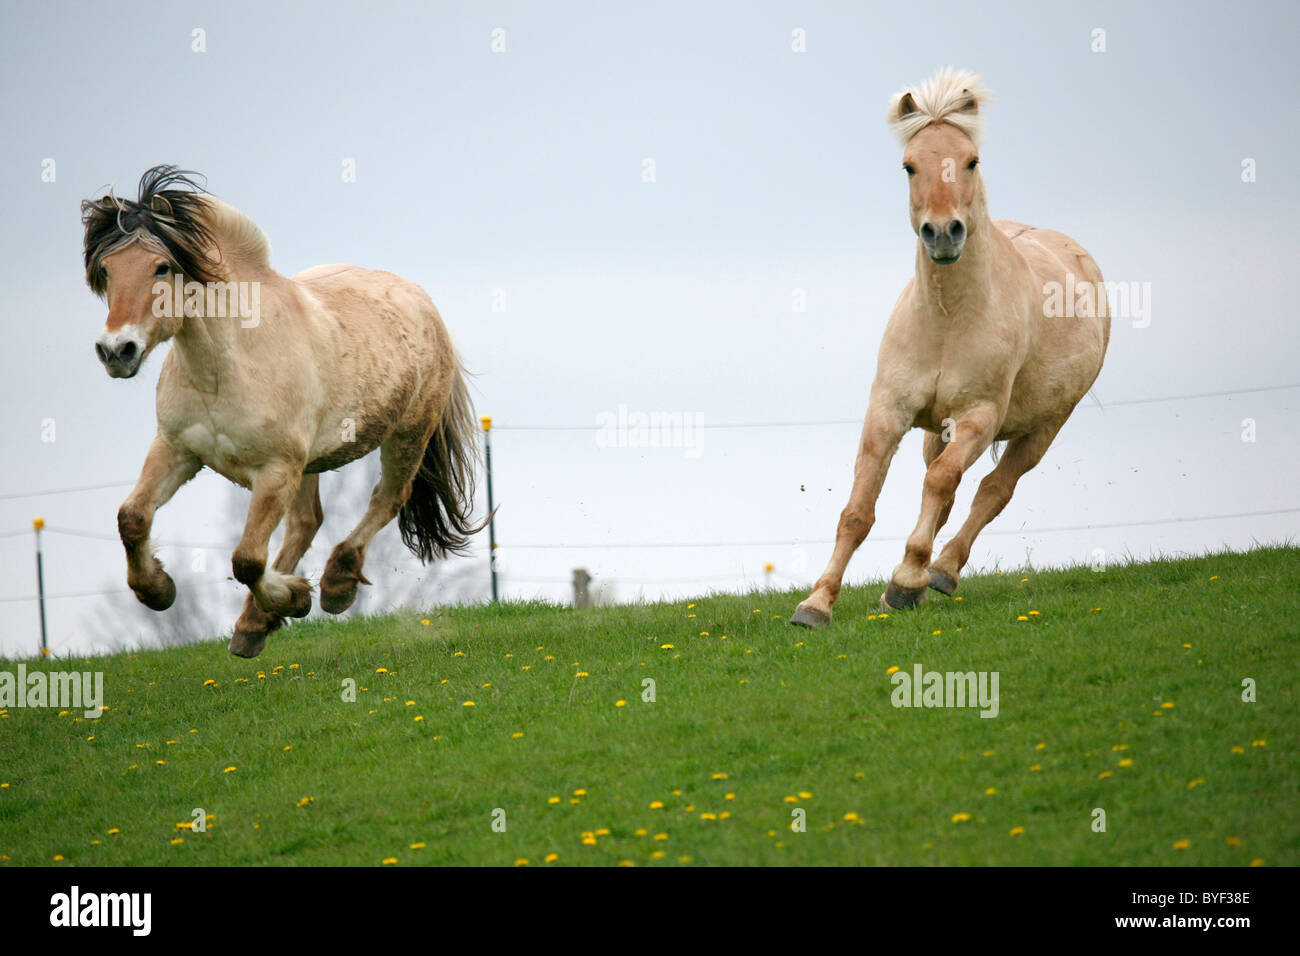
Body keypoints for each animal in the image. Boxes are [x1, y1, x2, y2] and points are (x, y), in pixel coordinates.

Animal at [82, 166, 483, 657]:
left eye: (162, 266)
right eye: (106, 270)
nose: (116, 350)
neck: (227, 365)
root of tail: (418, 297)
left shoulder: (275, 470)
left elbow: (247, 560)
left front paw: (295, 598)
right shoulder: (177, 450)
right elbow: (133, 518)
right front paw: (157, 590)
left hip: (406, 436)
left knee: (385, 500)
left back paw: (333, 586)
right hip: (309, 462)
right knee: (307, 523)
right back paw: (255, 624)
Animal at [790, 69, 1110, 628]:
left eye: (971, 161)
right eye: (909, 165)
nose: (943, 233)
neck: (946, 320)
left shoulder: (978, 418)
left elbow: (942, 485)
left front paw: (906, 580)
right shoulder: (888, 412)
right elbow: (858, 510)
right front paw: (818, 602)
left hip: (1042, 429)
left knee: (991, 491)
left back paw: (937, 572)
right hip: (934, 433)